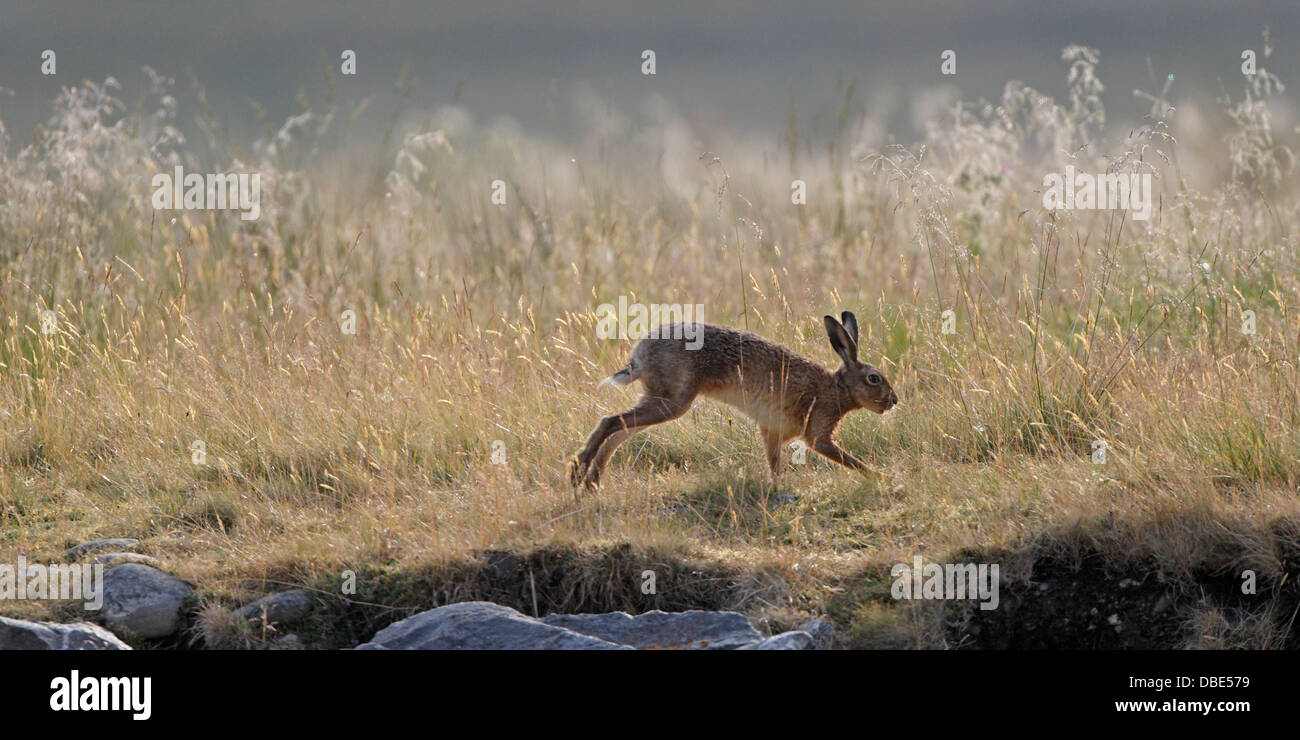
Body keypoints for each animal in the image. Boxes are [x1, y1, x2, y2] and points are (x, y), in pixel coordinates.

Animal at [568, 311, 897, 489]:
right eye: (874, 379)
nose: (893, 400)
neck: (837, 387)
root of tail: (639, 357)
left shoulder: (772, 432)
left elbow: (775, 464)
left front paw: (778, 487)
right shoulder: (818, 434)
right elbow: (845, 459)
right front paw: (879, 477)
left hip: (659, 400)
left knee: (618, 431)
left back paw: (592, 483)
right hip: (673, 402)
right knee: (609, 422)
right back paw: (578, 472)